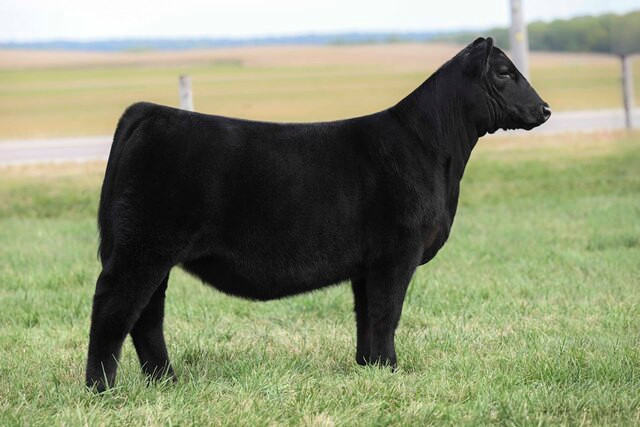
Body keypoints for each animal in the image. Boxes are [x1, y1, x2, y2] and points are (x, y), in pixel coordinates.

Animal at [86, 37, 550, 391]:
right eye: (504, 72)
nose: (545, 109)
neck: (433, 150)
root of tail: (151, 110)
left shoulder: (368, 263)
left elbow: (367, 315)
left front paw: (370, 367)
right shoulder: (397, 253)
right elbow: (388, 312)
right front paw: (392, 370)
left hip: (153, 252)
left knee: (146, 315)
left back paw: (165, 380)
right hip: (142, 248)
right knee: (114, 307)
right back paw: (102, 388)